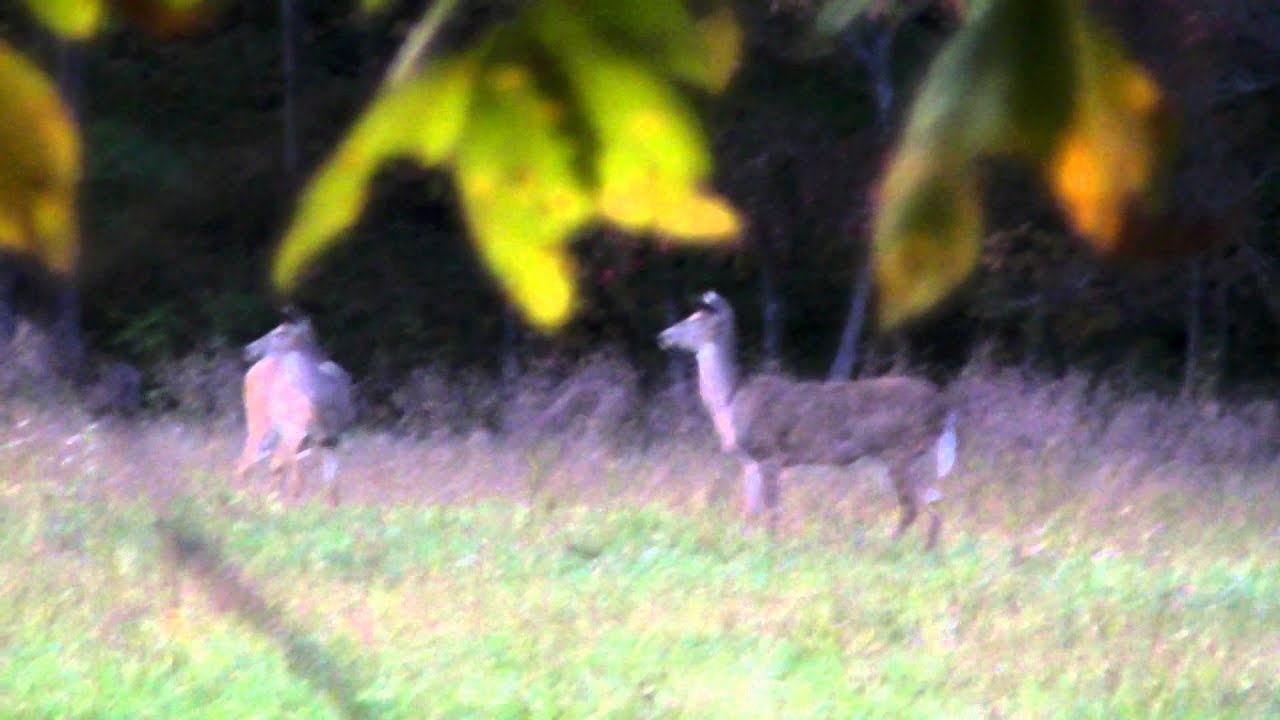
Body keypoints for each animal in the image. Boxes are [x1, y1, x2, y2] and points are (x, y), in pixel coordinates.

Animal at [235, 311, 355, 505]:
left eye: (280, 333)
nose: (248, 349)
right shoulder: (297, 435)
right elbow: (295, 479)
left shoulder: (332, 440)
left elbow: (332, 485)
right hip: (260, 422)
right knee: (248, 461)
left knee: (255, 461)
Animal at [658, 291, 956, 549]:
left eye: (697, 318)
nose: (663, 336)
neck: (730, 403)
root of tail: (944, 407)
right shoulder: (750, 461)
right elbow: (750, 512)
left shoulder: (770, 453)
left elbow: (772, 510)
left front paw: (771, 548)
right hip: (908, 458)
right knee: (934, 503)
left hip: (899, 451)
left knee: (913, 507)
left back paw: (887, 548)